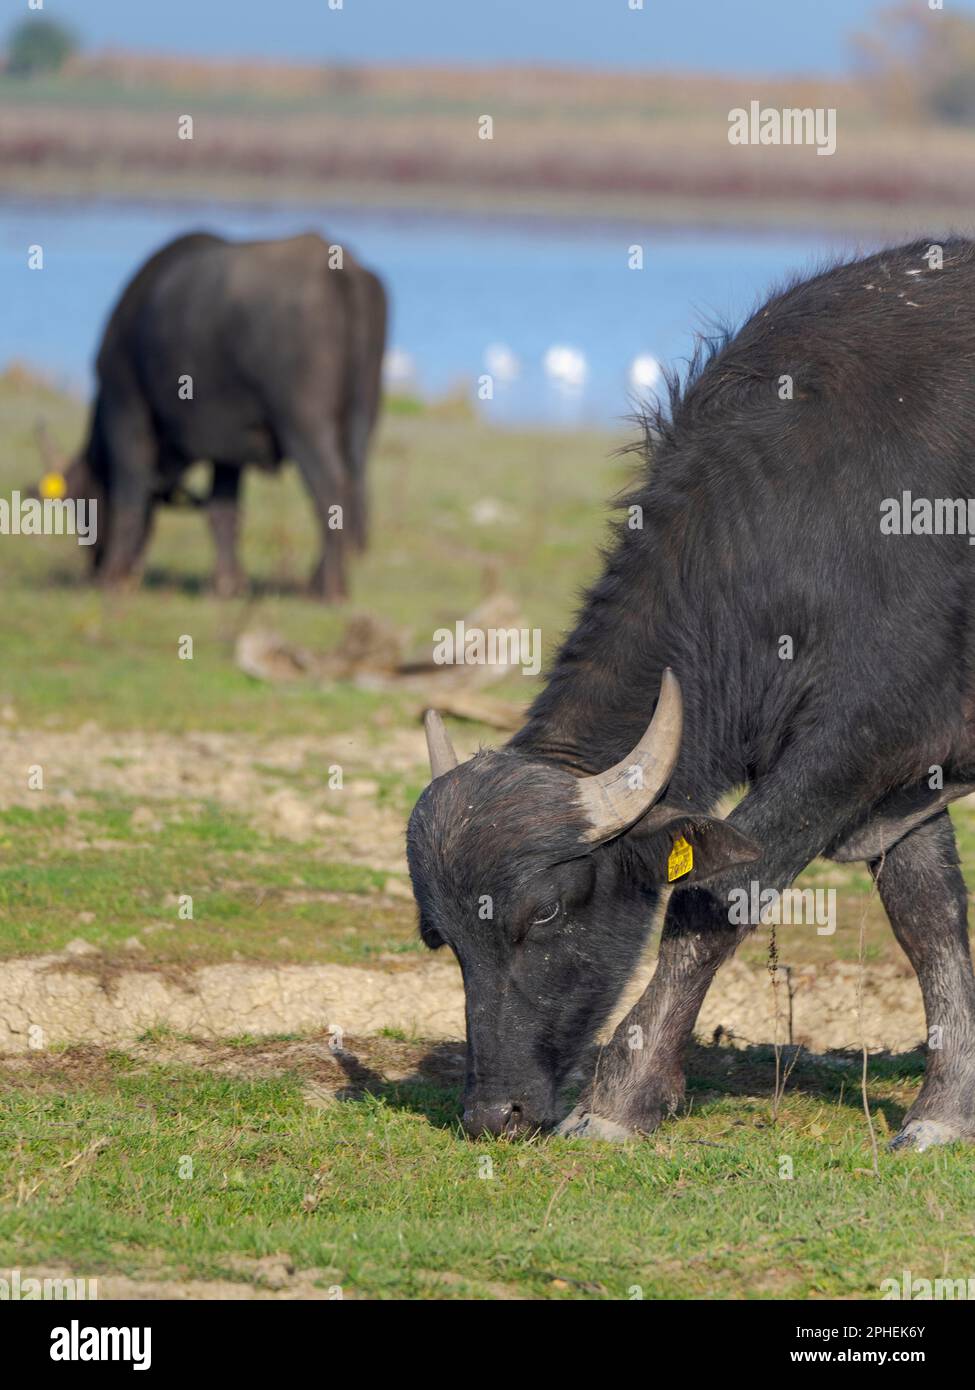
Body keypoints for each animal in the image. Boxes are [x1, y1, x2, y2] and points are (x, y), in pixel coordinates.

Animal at [37, 231, 386, 599]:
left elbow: (129, 496)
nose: (94, 565)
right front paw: (226, 583)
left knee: (332, 490)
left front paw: (113, 577)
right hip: (363, 417)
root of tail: (342, 272)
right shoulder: (229, 447)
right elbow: (222, 510)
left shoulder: (126, 408)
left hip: (303, 425)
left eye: (82, 508)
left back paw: (325, 586)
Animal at [407, 237, 975, 1152]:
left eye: (547, 912)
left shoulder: (859, 741)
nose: (497, 1114)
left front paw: (618, 1099)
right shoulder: (902, 770)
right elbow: (929, 924)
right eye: (443, 937)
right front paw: (943, 1113)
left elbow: (711, 900)